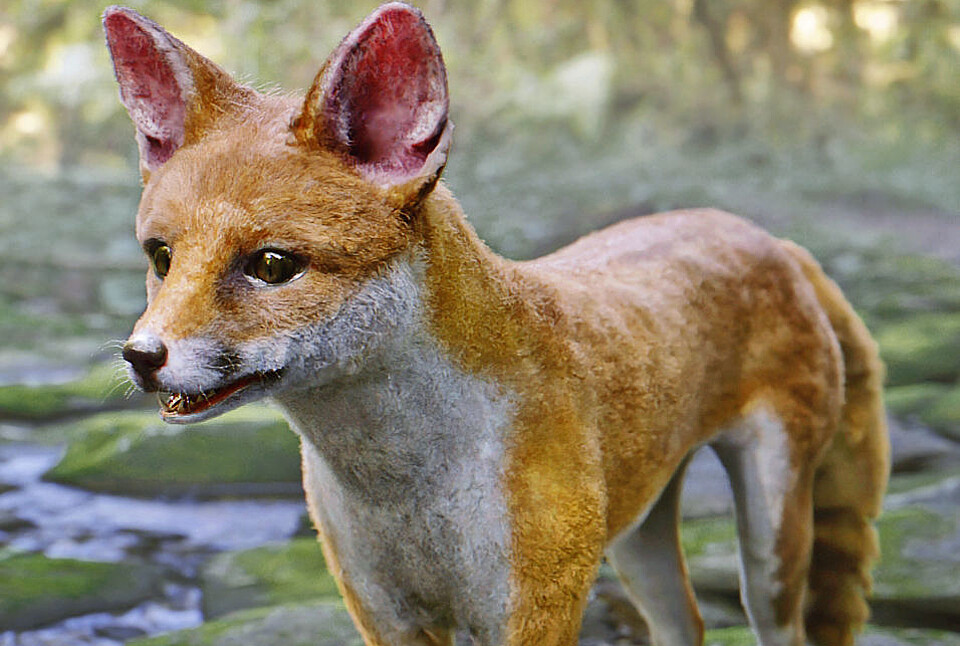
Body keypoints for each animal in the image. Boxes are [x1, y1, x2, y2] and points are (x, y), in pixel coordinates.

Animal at [105, 3, 889, 646]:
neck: (405, 489)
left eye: (271, 265)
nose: (142, 356)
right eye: (162, 257)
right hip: (637, 535)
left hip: (770, 549)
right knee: (685, 624)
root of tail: (767, 237)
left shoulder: (530, 607)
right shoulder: (384, 613)